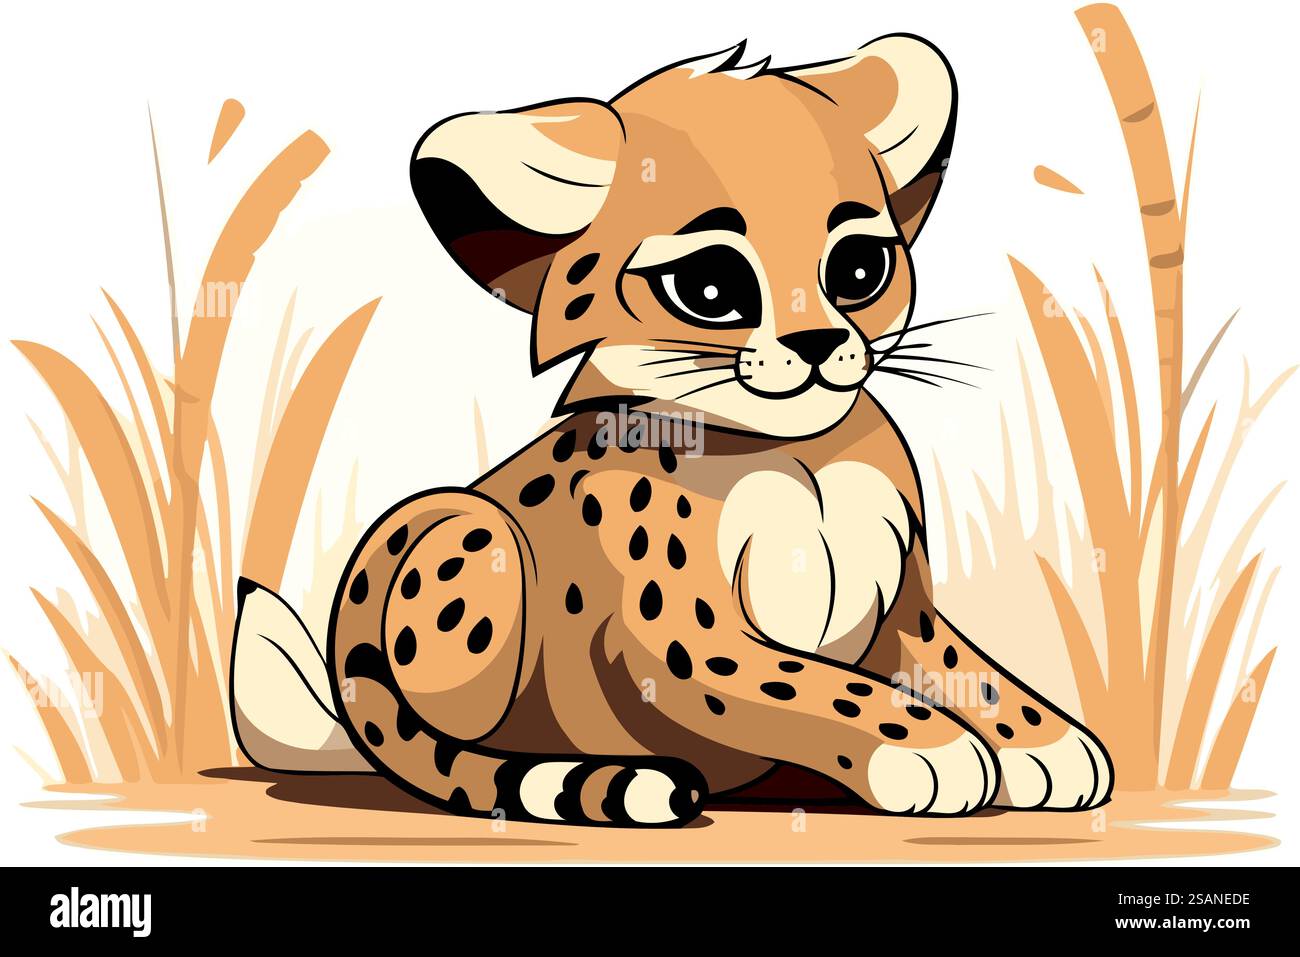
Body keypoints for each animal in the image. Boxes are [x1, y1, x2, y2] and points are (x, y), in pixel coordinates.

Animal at [237, 33, 1113, 826]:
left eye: (859, 269)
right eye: (712, 287)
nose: (818, 344)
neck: (797, 454)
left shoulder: (901, 605)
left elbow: (969, 665)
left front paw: (1045, 740)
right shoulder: (687, 636)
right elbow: (824, 687)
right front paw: (930, 747)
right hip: (459, 521)